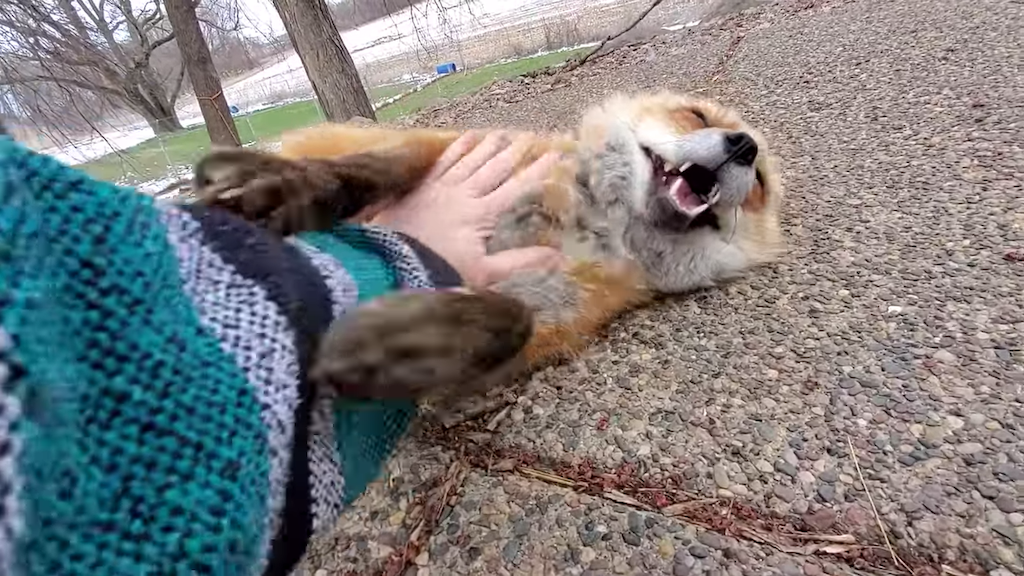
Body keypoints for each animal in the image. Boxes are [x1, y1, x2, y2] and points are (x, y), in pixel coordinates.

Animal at [187, 90, 785, 406]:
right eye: (697, 116)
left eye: (758, 183)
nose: (744, 147)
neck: (586, 215)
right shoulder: (451, 151)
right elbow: (370, 171)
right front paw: (289, 193)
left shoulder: (550, 318)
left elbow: (507, 319)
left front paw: (395, 344)